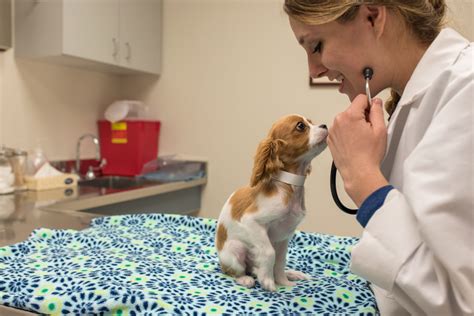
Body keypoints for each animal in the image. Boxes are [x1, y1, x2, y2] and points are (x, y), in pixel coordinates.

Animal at [217, 114, 328, 292]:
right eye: (301, 126)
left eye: (311, 122)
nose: (325, 125)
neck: (289, 186)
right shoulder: (252, 222)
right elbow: (269, 253)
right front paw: (268, 280)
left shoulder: (283, 237)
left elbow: (280, 261)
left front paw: (283, 281)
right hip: (235, 249)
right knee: (234, 271)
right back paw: (245, 279)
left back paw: (291, 273)